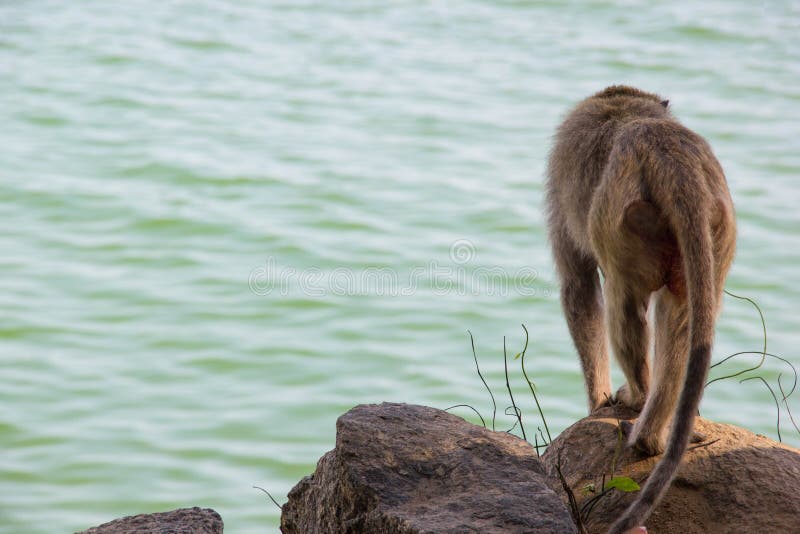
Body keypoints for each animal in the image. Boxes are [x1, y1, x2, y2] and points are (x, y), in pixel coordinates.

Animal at [545, 86, 736, 533]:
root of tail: (669, 152)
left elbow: (578, 288)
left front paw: (598, 403)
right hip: (716, 224)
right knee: (680, 314)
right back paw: (658, 430)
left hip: (624, 221)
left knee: (624, 299)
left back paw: (638, 408)